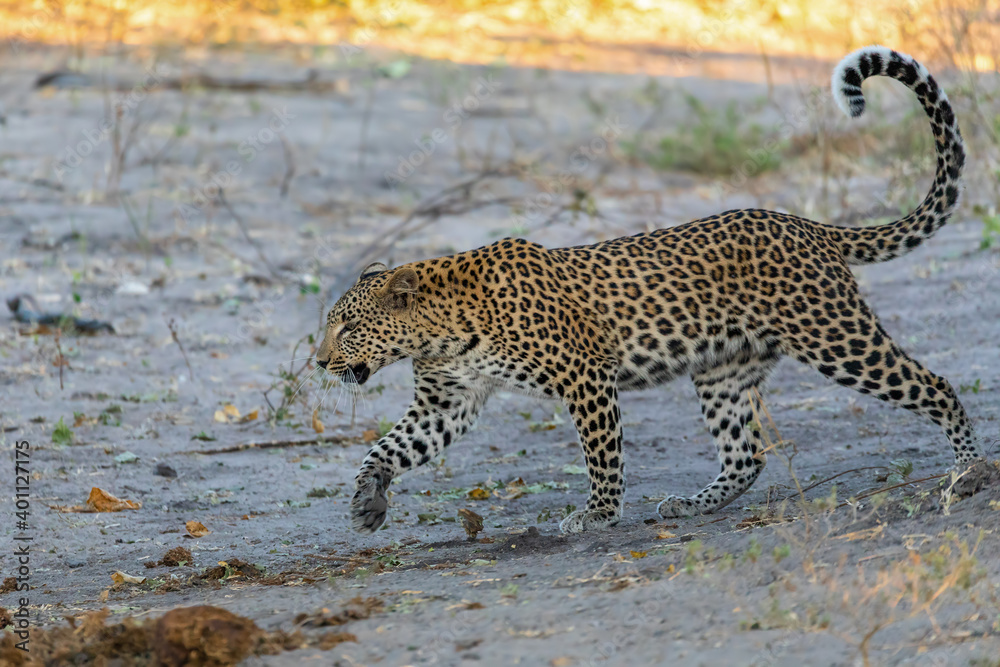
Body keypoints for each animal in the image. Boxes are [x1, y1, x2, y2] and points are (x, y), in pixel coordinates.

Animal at [315, 45, 982, 535]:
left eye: (348, 326)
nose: (320, 362)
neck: (439, 334)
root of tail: (809, 225)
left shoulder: (586, 374)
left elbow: (602, 453)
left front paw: (597, 515)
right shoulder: (445, 402)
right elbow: (386, 449)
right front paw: (367, 501)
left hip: (837, 339)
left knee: (936, 384)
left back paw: (969, 473)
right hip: (723, 370)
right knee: (746, 454)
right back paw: (692, 505)